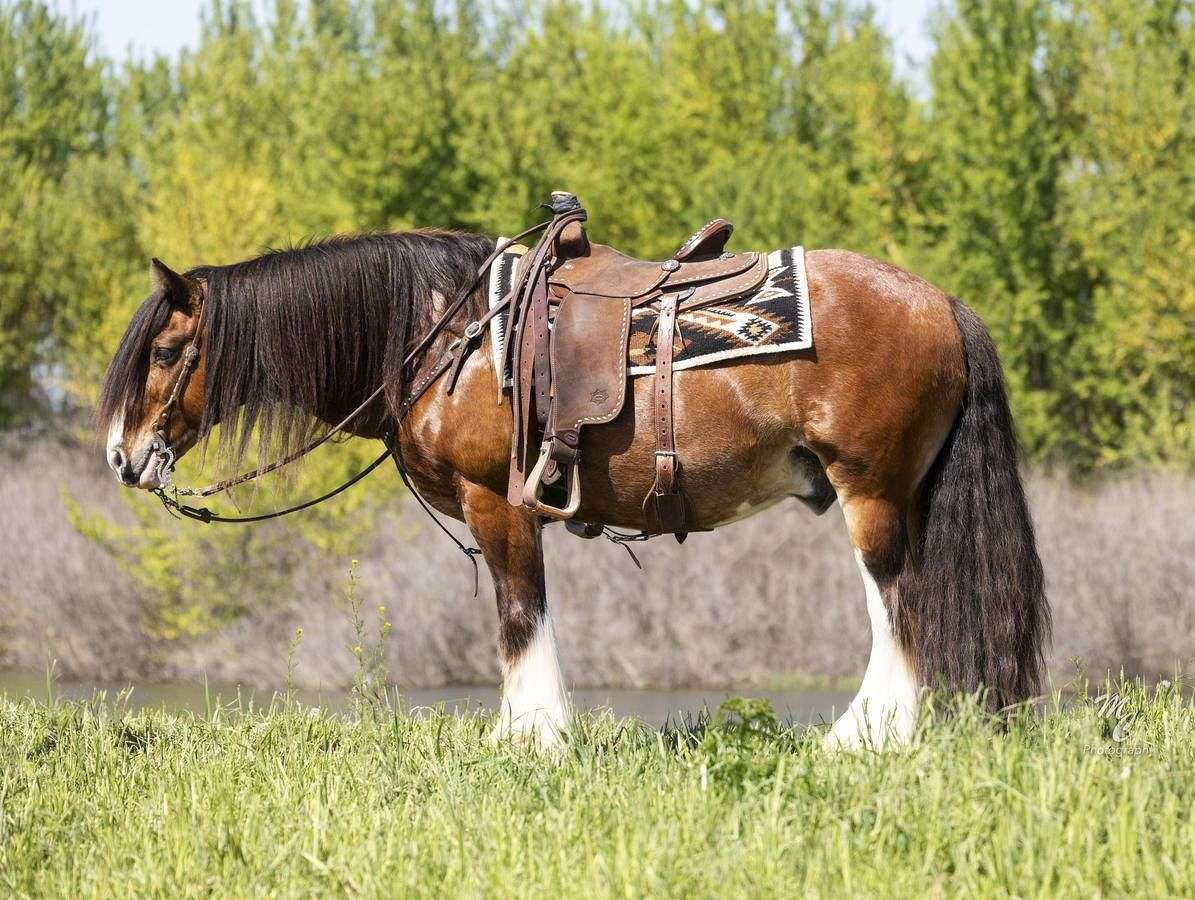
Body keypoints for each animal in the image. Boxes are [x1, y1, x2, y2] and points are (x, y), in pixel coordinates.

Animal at [98, 226, 1049, 749]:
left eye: (167, 351)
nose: (120, 456)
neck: (443, 335)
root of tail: (940, 304)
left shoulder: (498, 504)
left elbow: (520, 616)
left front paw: (532, 737)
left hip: (873, 495)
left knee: (898, 607)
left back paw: (863, 739)